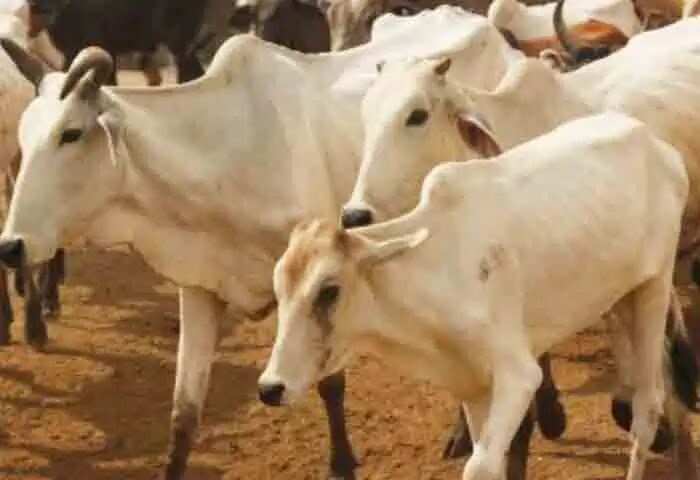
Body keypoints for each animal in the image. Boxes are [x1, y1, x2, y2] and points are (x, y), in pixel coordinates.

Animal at [0, 7, 524, 479]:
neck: (225, 155)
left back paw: (461, 433)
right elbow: (183, 415)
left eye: (70, 134)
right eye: (23, 135)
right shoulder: (199, 287)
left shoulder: (323, 276)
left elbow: (330, 385)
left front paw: (341, 463)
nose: (11, 247)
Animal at [259, 111, 690, 480]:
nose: (270, 388)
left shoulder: (519, 375)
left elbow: (480, 466)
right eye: (279, 291)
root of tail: (655, 144)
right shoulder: (471, 385)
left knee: (648, 408)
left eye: (328, 291)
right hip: (618, 298)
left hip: (653, 288)